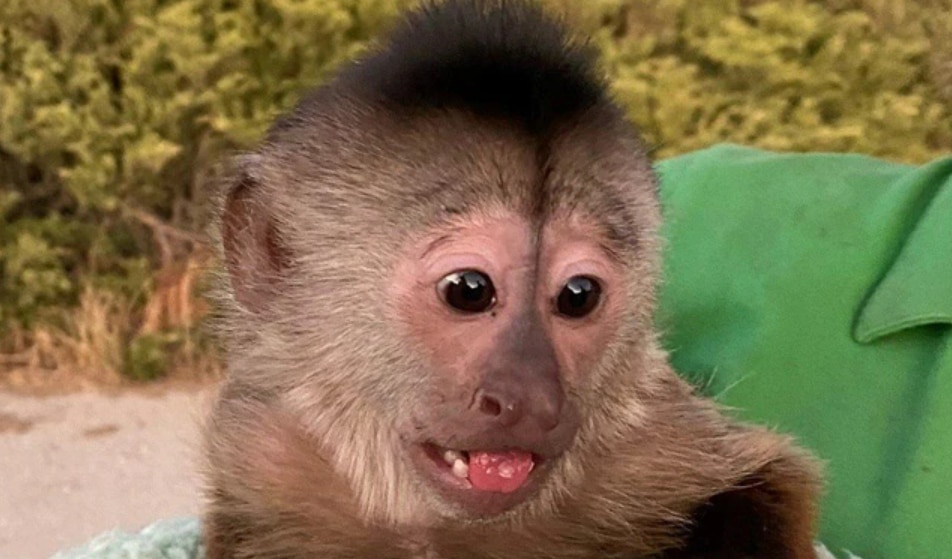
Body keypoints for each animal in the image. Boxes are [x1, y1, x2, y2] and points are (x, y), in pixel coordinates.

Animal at [202, 1, 822, 558]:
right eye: (468, 291)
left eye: (578, 296)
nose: (533, 399)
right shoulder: (264, 458)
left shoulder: (657, 439)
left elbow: (772, 477)